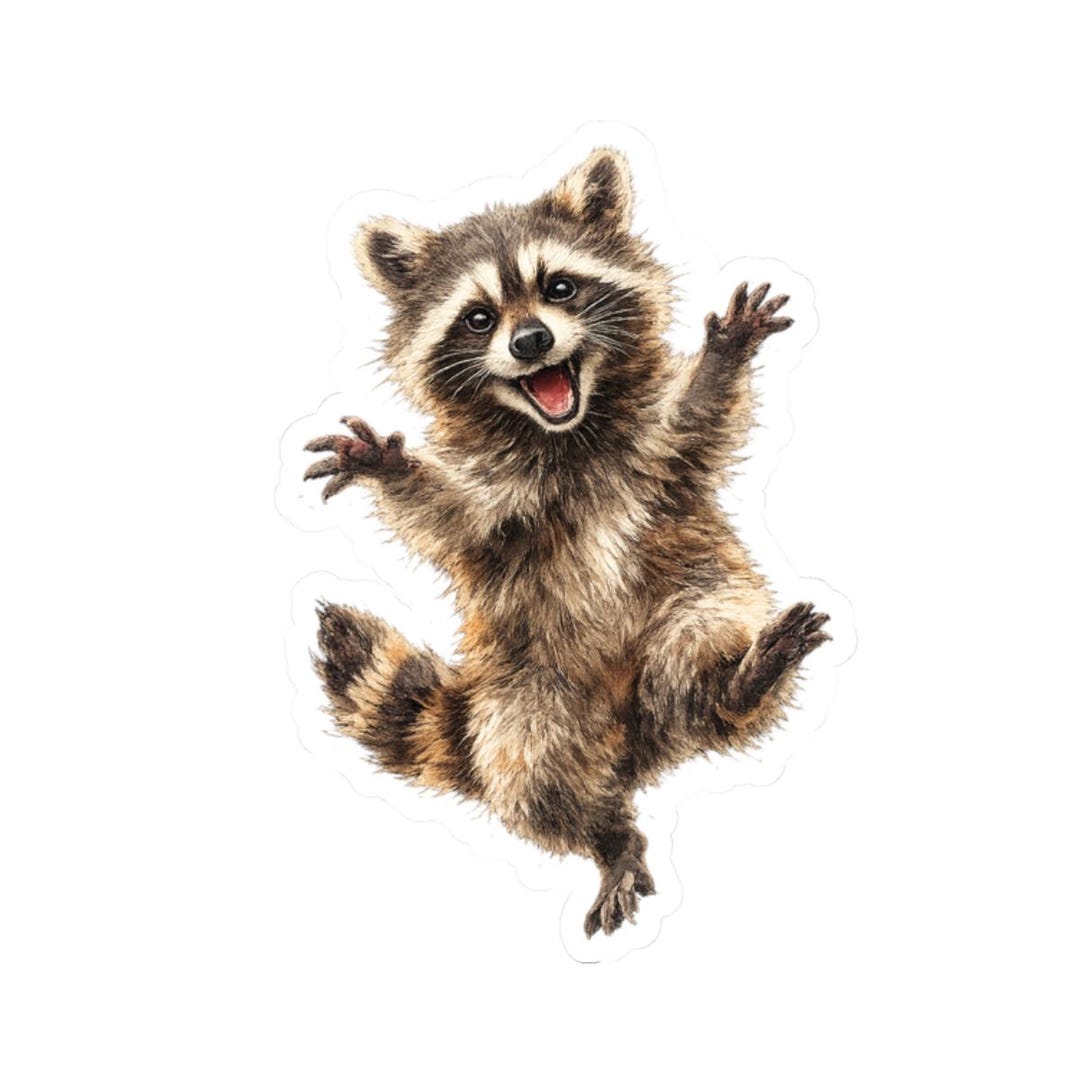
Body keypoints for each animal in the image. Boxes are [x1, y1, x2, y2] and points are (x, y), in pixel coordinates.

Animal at [304, 149, 829, 937]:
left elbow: (698, 421)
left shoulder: (654, 452)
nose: (530, 342)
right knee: (532, 769)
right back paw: (607, 835)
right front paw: (391, 468)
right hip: (526, 687)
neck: (565, 434)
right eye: (479, 317)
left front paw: (723, 357)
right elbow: (448, 512)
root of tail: (638, 745)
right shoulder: (495, 497)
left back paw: (736, 682)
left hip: (693, 595)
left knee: (699, 640)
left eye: (559, 286)